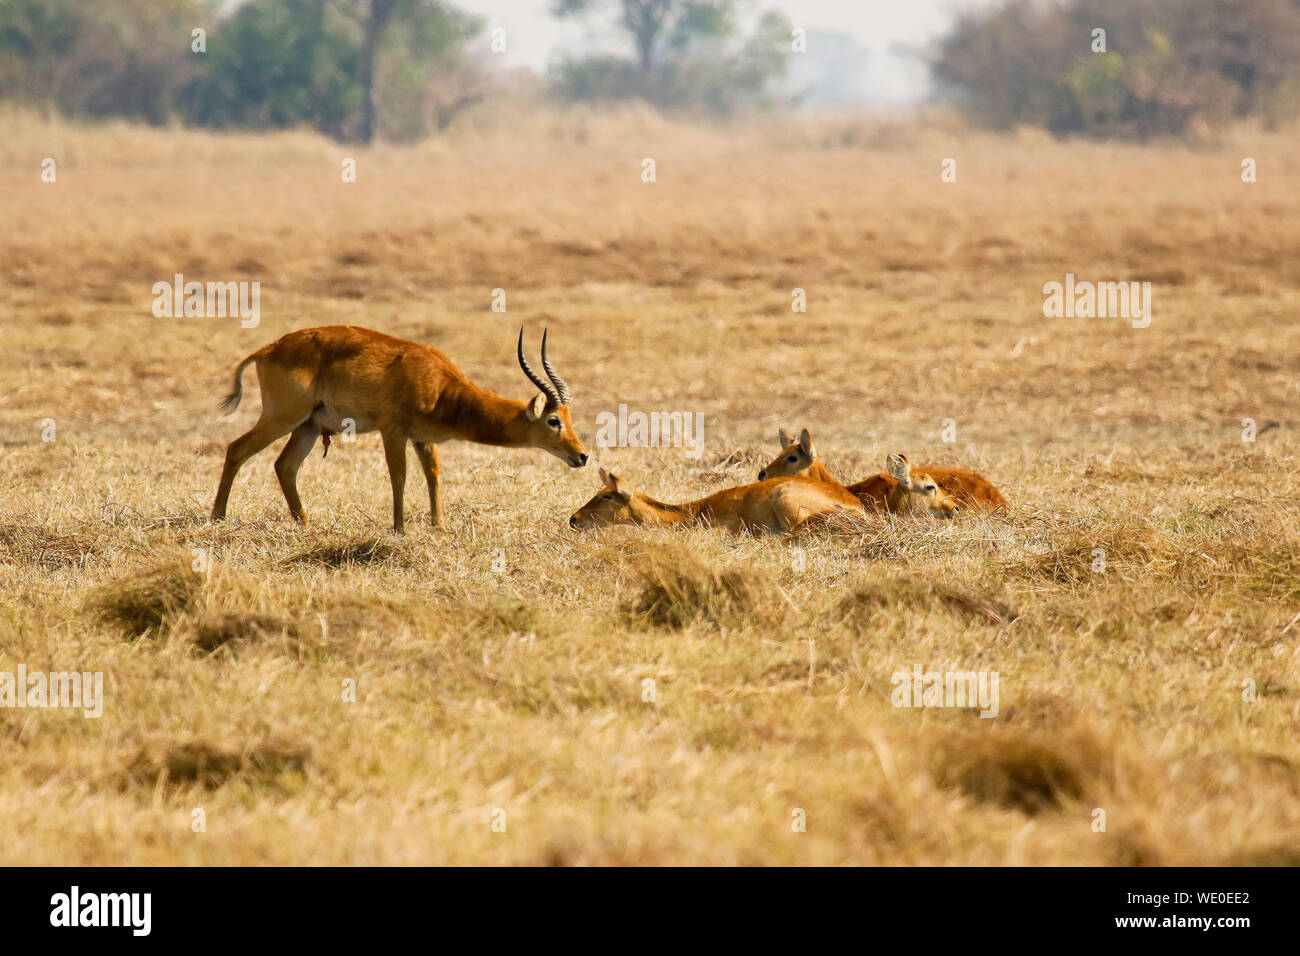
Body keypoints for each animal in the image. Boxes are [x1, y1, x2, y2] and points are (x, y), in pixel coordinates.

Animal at [211, 325, 588, 532]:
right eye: (553, 420)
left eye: (569, 417)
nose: (582, 456)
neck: (440, 386)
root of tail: (267, 349)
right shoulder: (392, 431)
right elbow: (399, 477)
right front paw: (399, 529)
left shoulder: (423, 438)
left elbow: (433, 475)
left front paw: (439, 526)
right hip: (283, 417)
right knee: (237, 449)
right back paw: (218, 518)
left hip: (307, 426)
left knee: (284, 466)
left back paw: (304, 522)